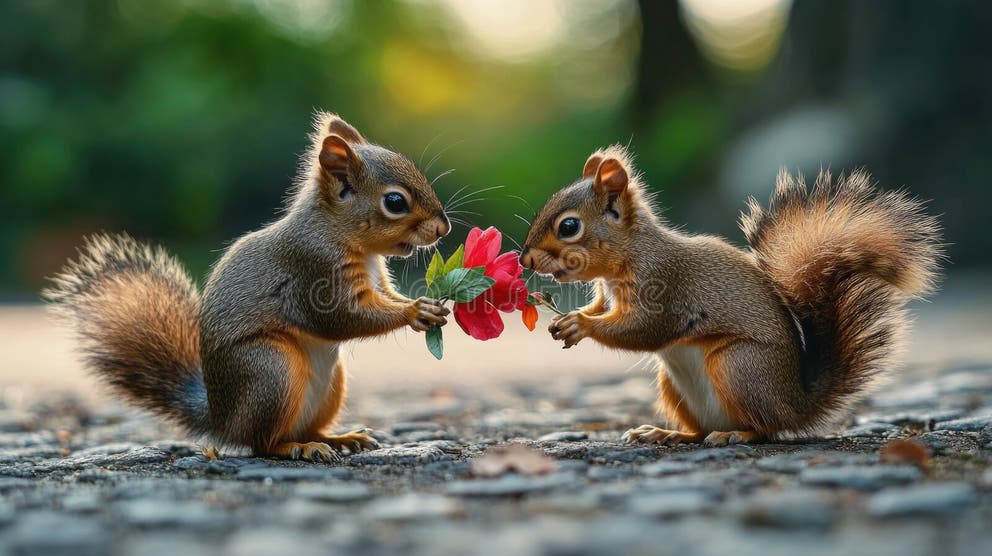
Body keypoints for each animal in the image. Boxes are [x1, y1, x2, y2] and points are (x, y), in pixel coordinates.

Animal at [45, 112, 452, 462]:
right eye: (395, 201)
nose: (443, 228)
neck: (340, 233)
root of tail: (221, 420)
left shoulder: (376, 277)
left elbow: (385, 297)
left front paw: (431, 305)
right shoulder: (312, 269)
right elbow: (342, 317)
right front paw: (415, 311)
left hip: (329, 384)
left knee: (305, 428)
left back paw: (338, 438)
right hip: (270, 370)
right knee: (262, 443)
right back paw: (298, 448)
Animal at [521, 146, 942, 446]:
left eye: (569, 227)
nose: (525, 258)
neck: (630, 252)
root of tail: (796, 403)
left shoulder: (665, 284)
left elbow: (646, 329)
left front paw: (579, 324)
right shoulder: (607, 294)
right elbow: (603, 308)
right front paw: (566, 322)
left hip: (738, 367)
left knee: (767, 430)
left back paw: (736, 434)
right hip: (672, 385)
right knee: (699, 432)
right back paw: (666, 434)